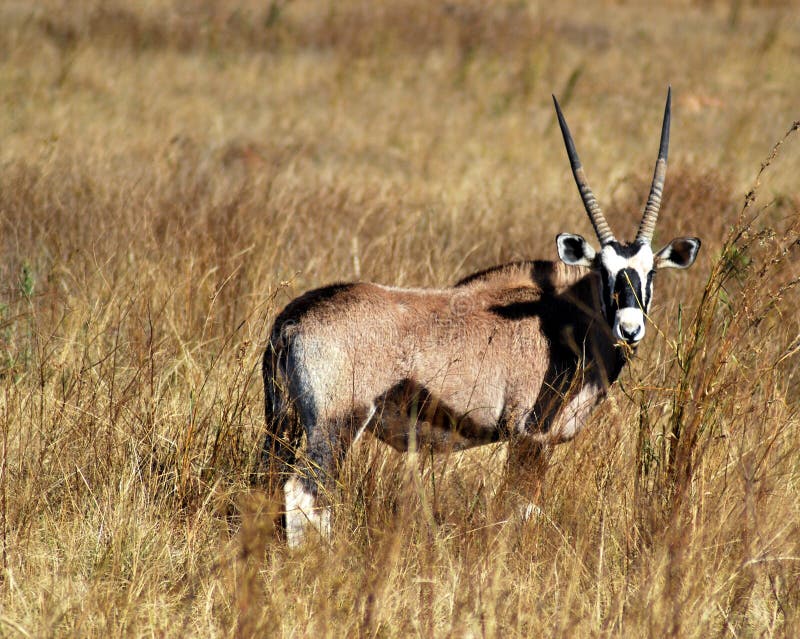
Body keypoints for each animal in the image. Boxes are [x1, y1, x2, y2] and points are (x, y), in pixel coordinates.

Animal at [261, 88, 701, 547]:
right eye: (604, 271)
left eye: (650, 272)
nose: (629, 328)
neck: (563, 316)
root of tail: (291, 320)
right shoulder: (530, 437)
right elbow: (522, 512)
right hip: (336, 424)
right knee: (304, 494)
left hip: (284, 424)